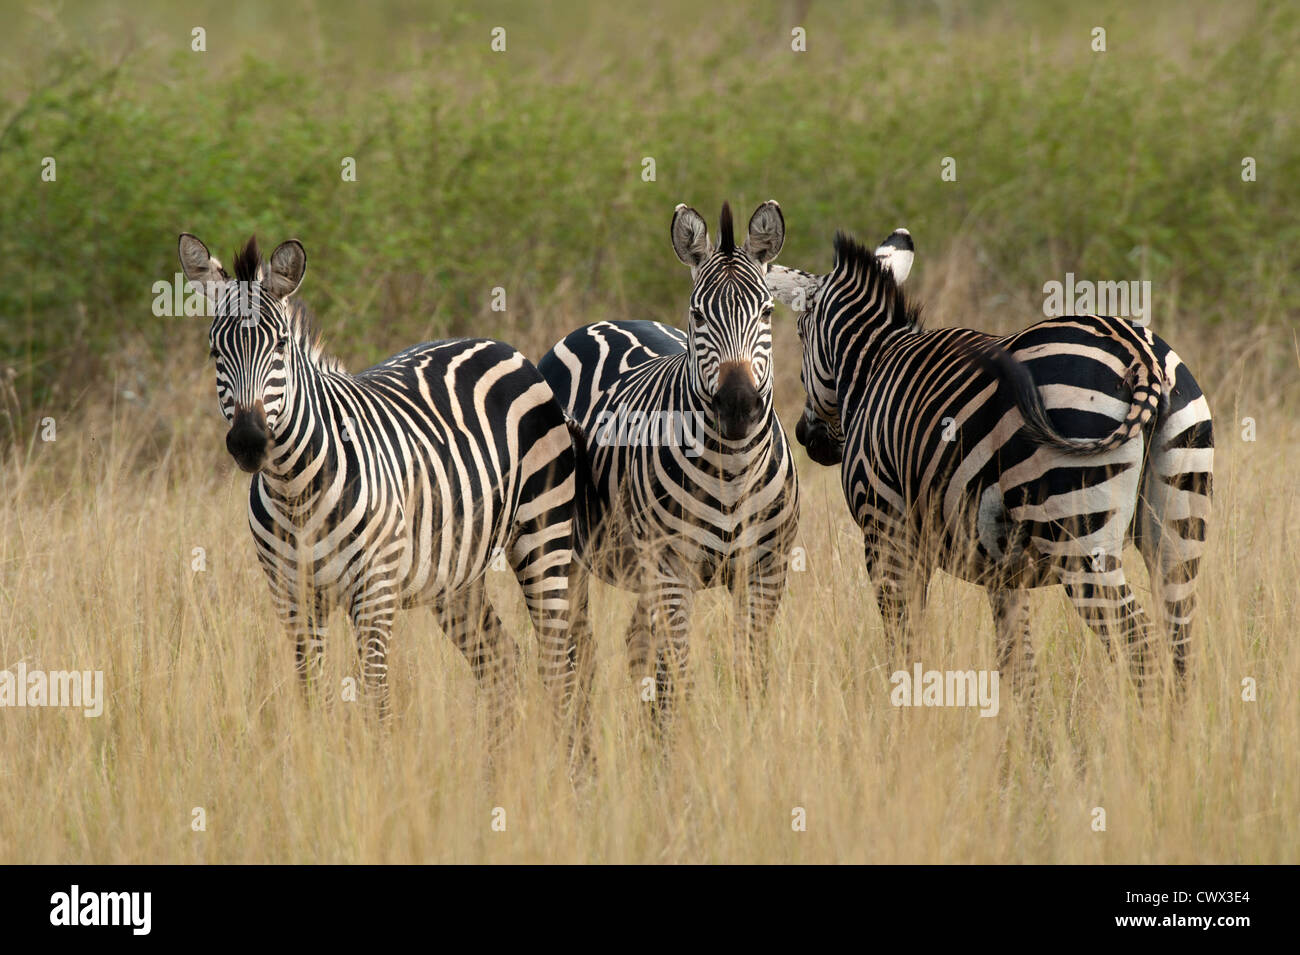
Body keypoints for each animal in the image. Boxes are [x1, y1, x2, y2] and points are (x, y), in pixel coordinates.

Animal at [178, 233, 590, 748]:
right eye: (215, 351)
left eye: (281, 346)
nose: (249, 442)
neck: (294, 489)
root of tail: (501, 346)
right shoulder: (292, 597)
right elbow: (312, 698)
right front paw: (317, 759)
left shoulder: (373, 591)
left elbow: (377, 701)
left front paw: (379, 763)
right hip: (456, 574)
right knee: (501, 663)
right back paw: (499, 762)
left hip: (543, 536)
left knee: (558, 665)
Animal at [538, 201, 800, 726]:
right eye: (698, 314)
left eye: (766, 312)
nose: (738, 406)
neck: (732, 471)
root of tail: (599, 324)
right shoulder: (672, 570)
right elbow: (678, 679)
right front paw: (682, 747)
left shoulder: (766, 571)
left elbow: (750, 674)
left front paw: (753, 737)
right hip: (573, 553)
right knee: (581, 652)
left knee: (634, 645)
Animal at [768, 229, 1213, 694]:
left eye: (799, 334)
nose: (806, 437)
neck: (874, 365)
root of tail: (1138, 352)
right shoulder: (1004, 569)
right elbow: (1018, 664)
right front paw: (1027, 717)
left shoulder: (887, 529)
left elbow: (905, 641)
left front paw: (905, 705)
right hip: (1178, 525)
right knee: (1179, 645)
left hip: (1080, 538)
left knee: (1140, 646)